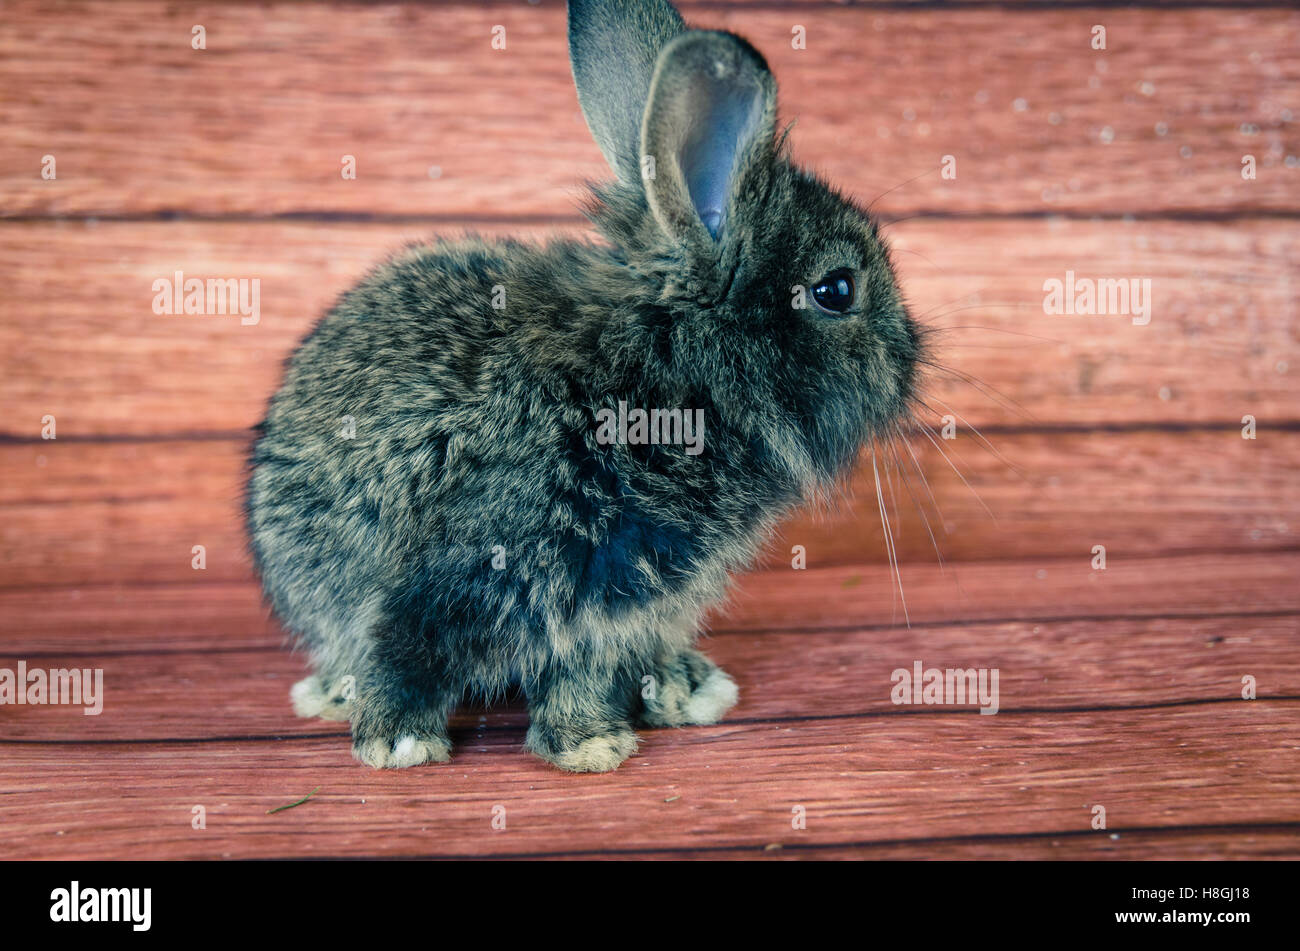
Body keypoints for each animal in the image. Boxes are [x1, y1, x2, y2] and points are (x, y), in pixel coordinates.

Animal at [245, 0, 922, 772]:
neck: (665, 379)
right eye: (837, 290)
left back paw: (686, 688)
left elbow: (581, 674)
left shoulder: (612, 611)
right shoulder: (468, 573)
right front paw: (400, 742)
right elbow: (404, 648)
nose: (914, 354)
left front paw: (591, 742)